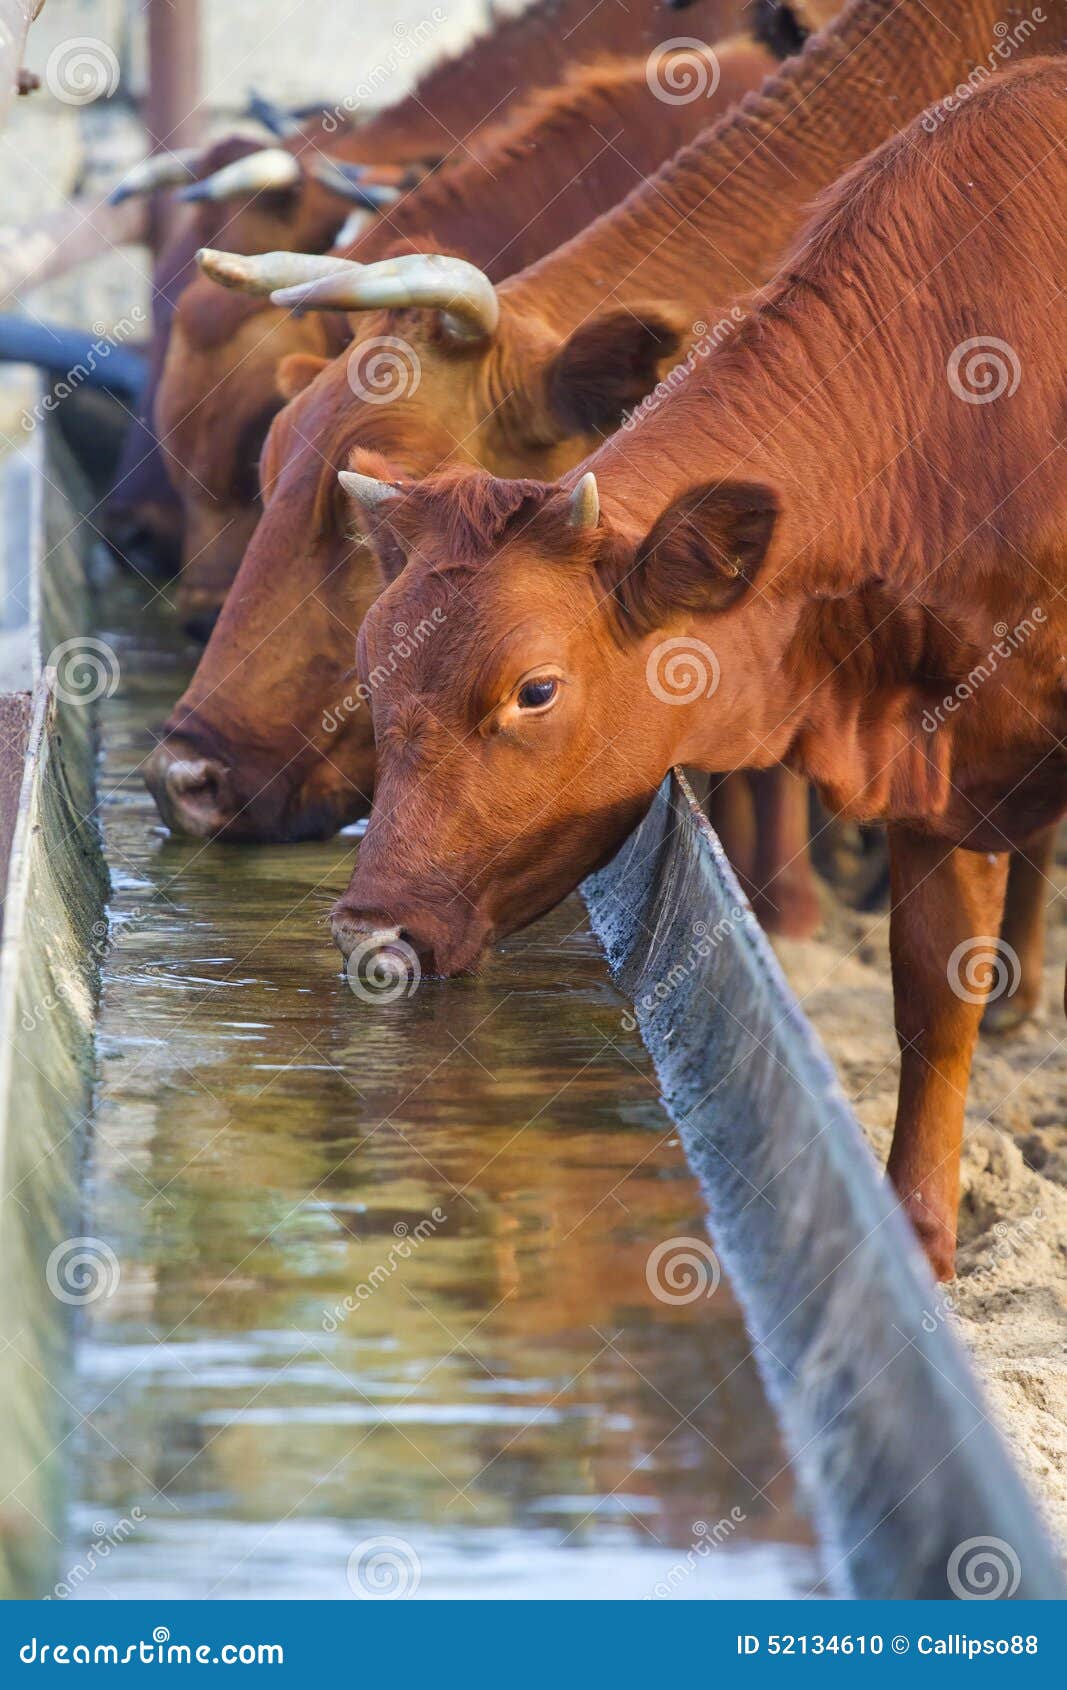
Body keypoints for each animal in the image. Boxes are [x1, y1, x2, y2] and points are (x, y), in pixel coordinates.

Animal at [327, 59, 1067, 1281]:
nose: (369, 928)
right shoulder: (941, 755)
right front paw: (913, 1244)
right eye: (374, 677)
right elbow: (931, 989)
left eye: (534, 689)